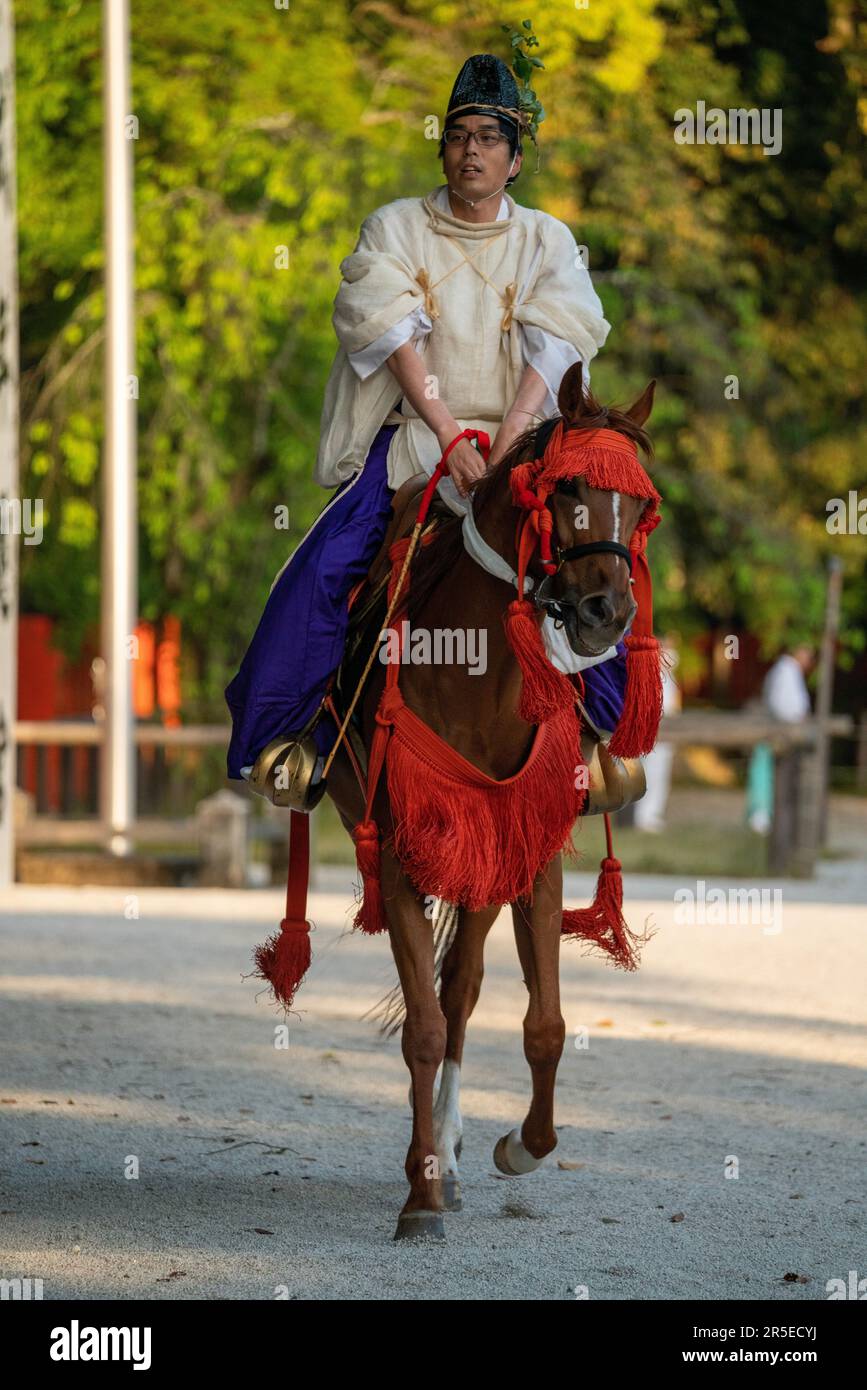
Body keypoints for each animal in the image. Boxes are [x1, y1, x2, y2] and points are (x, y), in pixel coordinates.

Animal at [293, 362, 659, 1241]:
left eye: (640, 507)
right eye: (566, 489)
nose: (606, 613)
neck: (480, 671)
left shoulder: (527, 848)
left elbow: (542, 1024)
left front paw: (521, 1146)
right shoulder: (399, 850)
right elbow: (422, 1029)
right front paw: (420, 1198)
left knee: (462, 987)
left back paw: (452, 1150)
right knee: (439, 1000)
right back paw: (432, 1163)